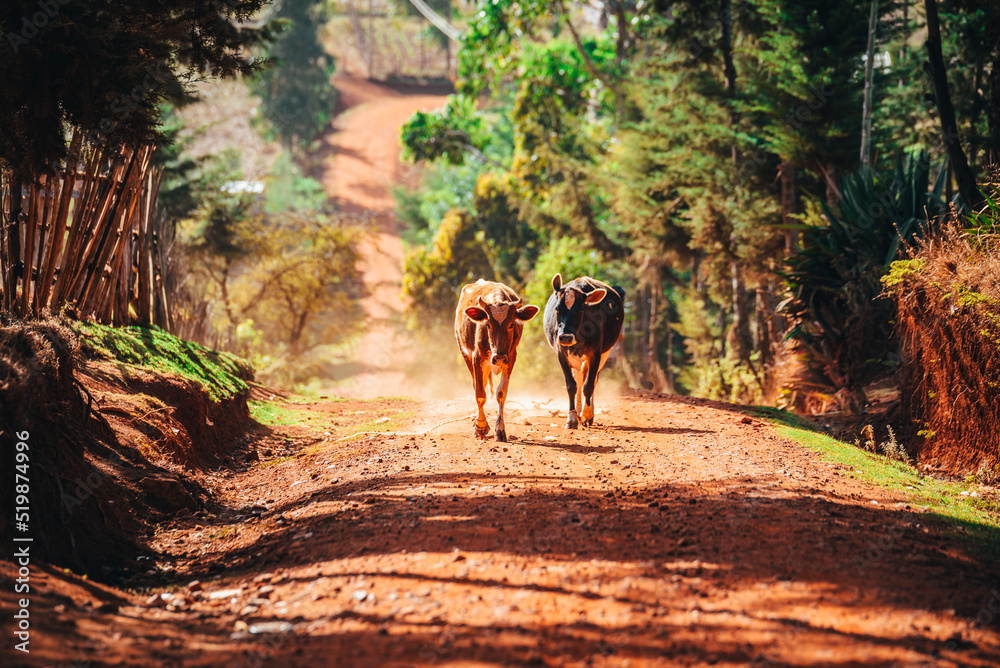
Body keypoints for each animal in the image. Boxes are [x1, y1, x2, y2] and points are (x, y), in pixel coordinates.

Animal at [455, 279, 539, 442]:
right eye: (488, 325)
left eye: (511, 324)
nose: (499, 357)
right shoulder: (477, 357)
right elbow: (480, 394)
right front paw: (481, 426)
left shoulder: (511, 357)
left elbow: (501, 392)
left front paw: (500, 430)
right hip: (466, 354)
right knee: (477, 385)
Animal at [543, 274, 625, 429]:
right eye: (557, 309)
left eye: (580, 310)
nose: (566, 337)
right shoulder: (561, 353)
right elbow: (571, 385)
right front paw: (572, 418)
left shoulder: (596, 354)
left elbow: (589, 385)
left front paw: (587, 415)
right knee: (579, 379)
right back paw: (578, 410)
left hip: (605, 353)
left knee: (591, 381)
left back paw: (587, 413)